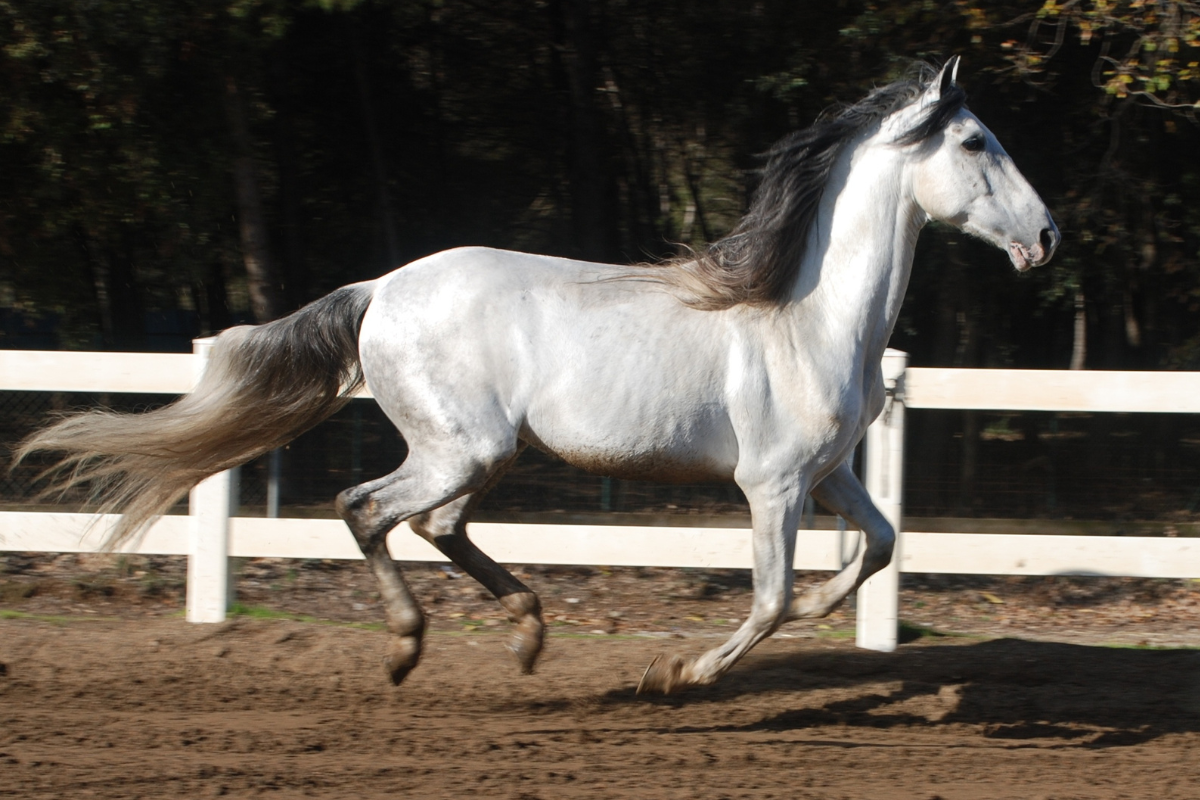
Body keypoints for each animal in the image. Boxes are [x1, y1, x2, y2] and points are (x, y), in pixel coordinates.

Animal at [18, 58, 1058, 694]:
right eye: (976, 143)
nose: (1046, 237)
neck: (804, 320)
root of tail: (378, 289)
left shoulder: (831, 473)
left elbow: (880, 546)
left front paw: (817, 613)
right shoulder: (771, 487)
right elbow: (765, 601)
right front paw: (681, 675)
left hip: (483, 454)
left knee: (432, 525)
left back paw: (524, 628)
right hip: (461, 447)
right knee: (368, 508)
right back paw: (407, 648)